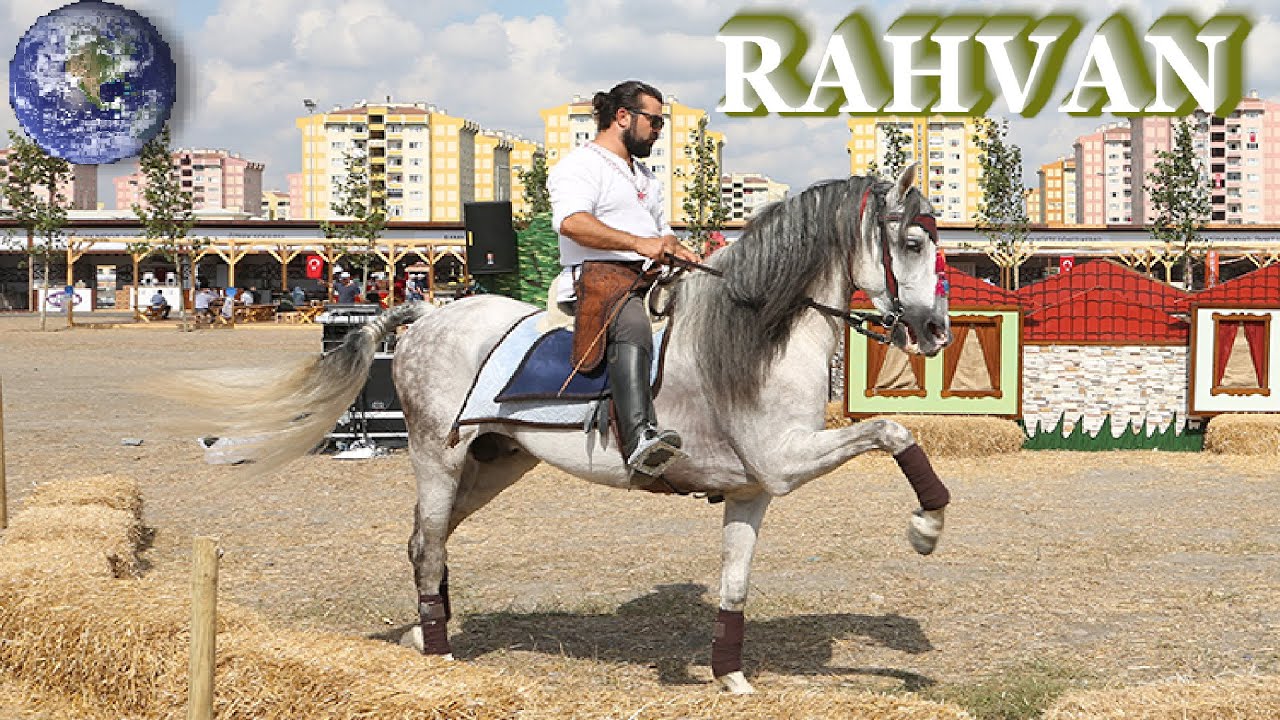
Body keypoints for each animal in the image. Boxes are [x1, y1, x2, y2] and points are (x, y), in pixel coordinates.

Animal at [188, 164, 952, 695]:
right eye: (913, 242)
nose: (938, 331)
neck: (756, 334)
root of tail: (430, 312)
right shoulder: (786, 461)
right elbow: (894, 433)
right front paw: (927, 524)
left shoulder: (754, 488)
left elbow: (735, 584)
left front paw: (731, 676)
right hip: (437, 456)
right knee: (427, 545)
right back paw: (438, 652)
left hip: (493, 463)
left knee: (426, 543)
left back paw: (423, 631)